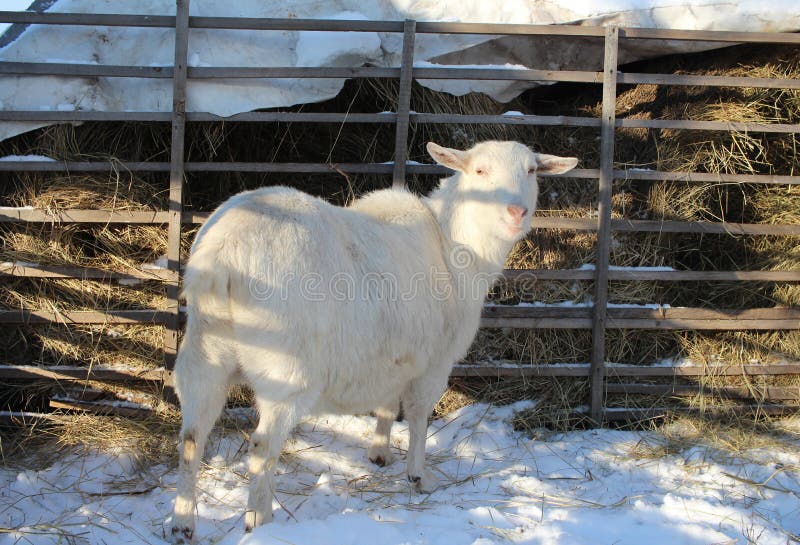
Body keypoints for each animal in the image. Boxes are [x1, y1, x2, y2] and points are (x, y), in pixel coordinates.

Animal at [169, 140, 578, 542]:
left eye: (531, 171)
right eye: (479, 171)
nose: (516, 212)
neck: (452, 243)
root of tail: (225, 250)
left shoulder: (394, 354)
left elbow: (386, 403)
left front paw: (380, 453)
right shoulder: (435, 360)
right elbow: (417, 415)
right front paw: (418, 475)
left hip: (205, 349)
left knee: (192, 435)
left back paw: (182, 523)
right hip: (285, 368)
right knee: (262, 445)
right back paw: (260, 520)